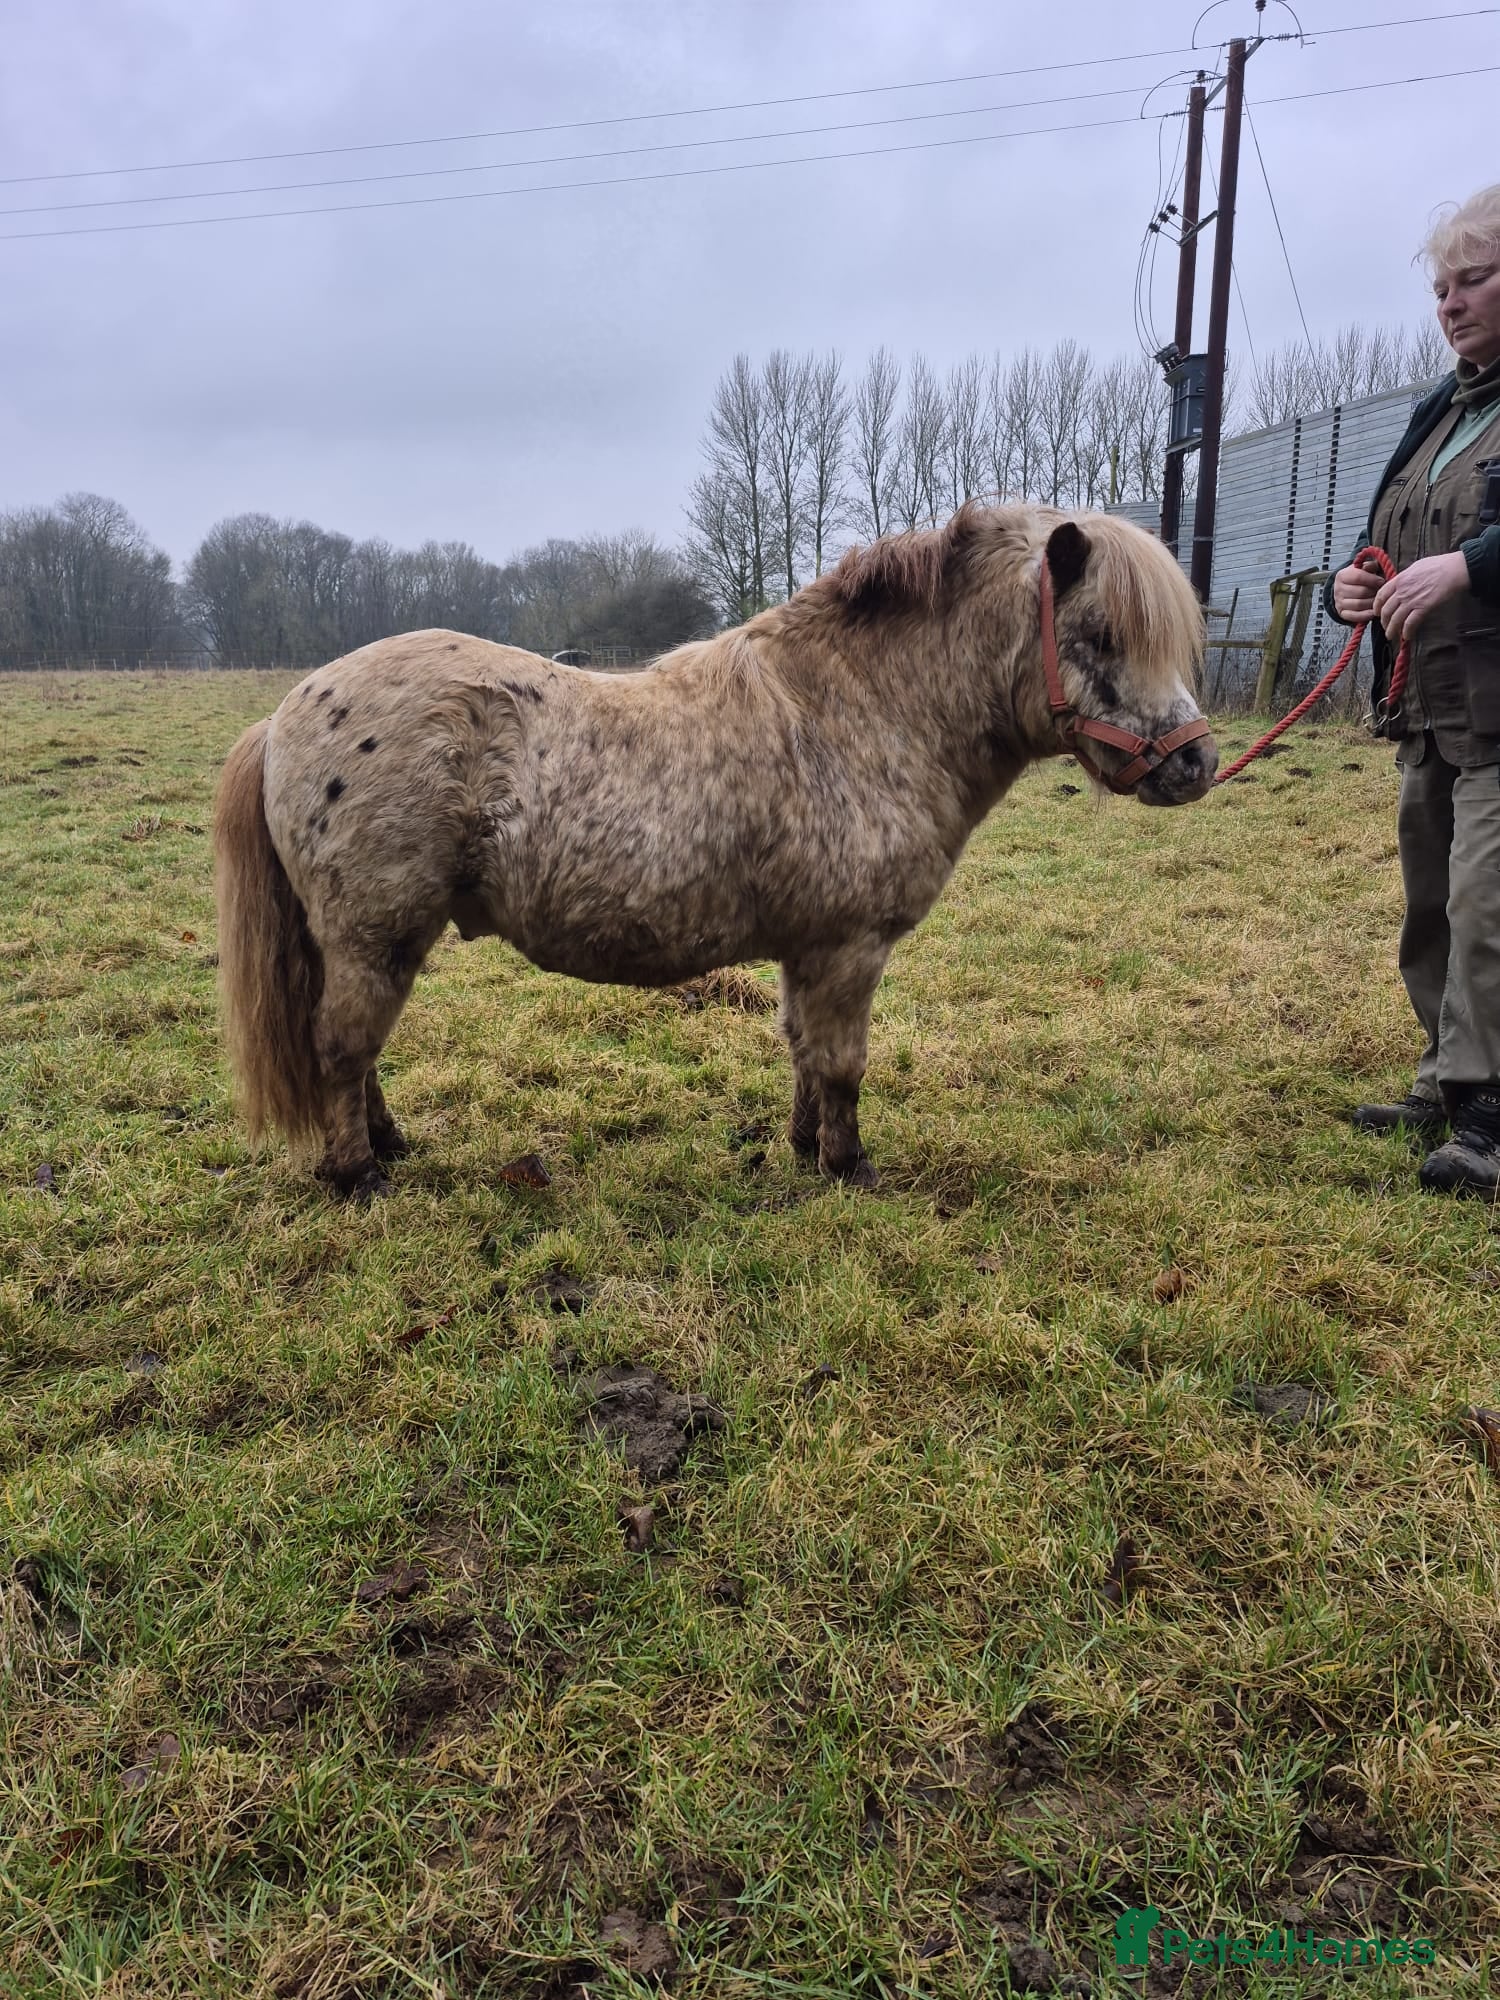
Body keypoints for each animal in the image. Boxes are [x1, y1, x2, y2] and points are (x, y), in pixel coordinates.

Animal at [213, 503, 1216, 1199]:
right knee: (344, 1049)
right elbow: (843, 1061)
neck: (858, 714)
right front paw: (851, 1168)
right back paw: (359, 1176)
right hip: (372, 936)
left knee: (358, 1053)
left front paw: (806, 1150)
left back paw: (389, 1145)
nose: (1197, 763)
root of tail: (286, 711)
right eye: (1101, 636)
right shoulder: (850, 950)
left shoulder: (809, 950)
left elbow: (804, 1050)